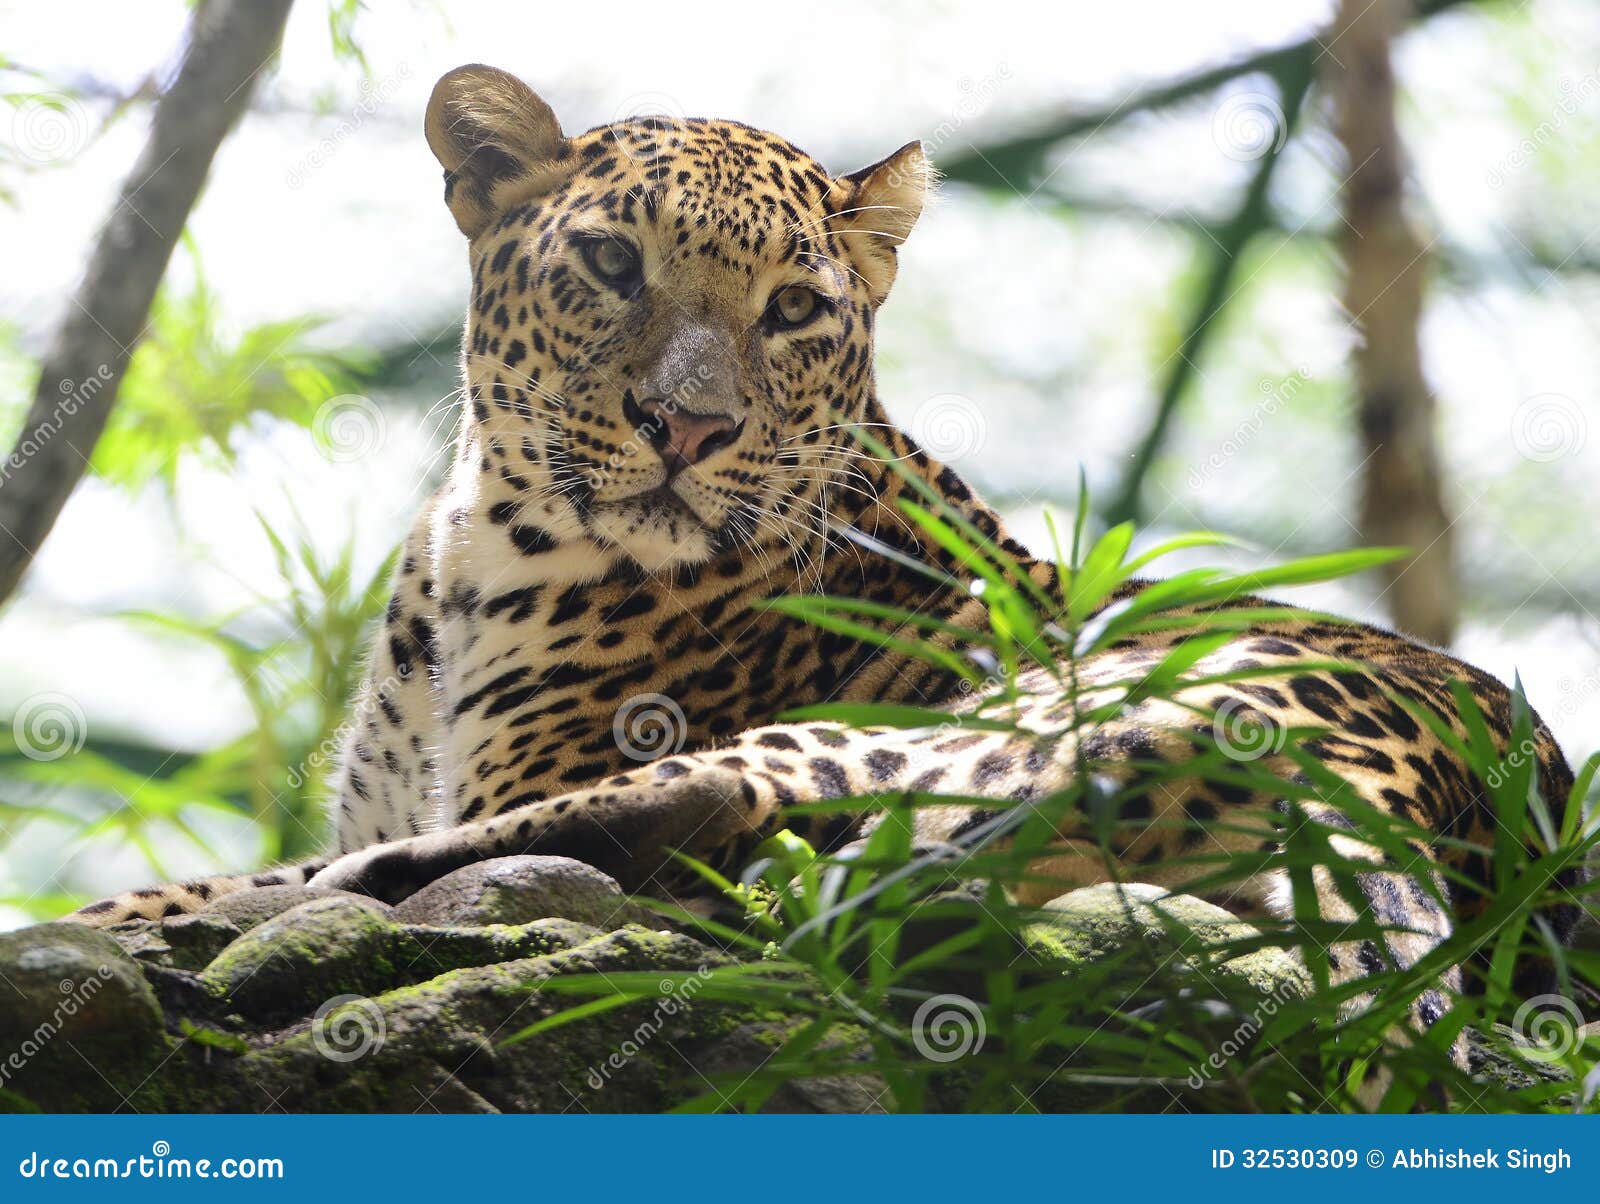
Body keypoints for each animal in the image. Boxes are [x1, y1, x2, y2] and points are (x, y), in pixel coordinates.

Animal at [67, 65, 1581, 1053]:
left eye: (795, 309)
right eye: (610, 265)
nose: (687, 426)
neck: (476, 539)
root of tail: (1471, 798)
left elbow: (196, 880)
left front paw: (161, 903)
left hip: (1045, 706)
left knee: (715, 810)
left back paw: (333, 894)